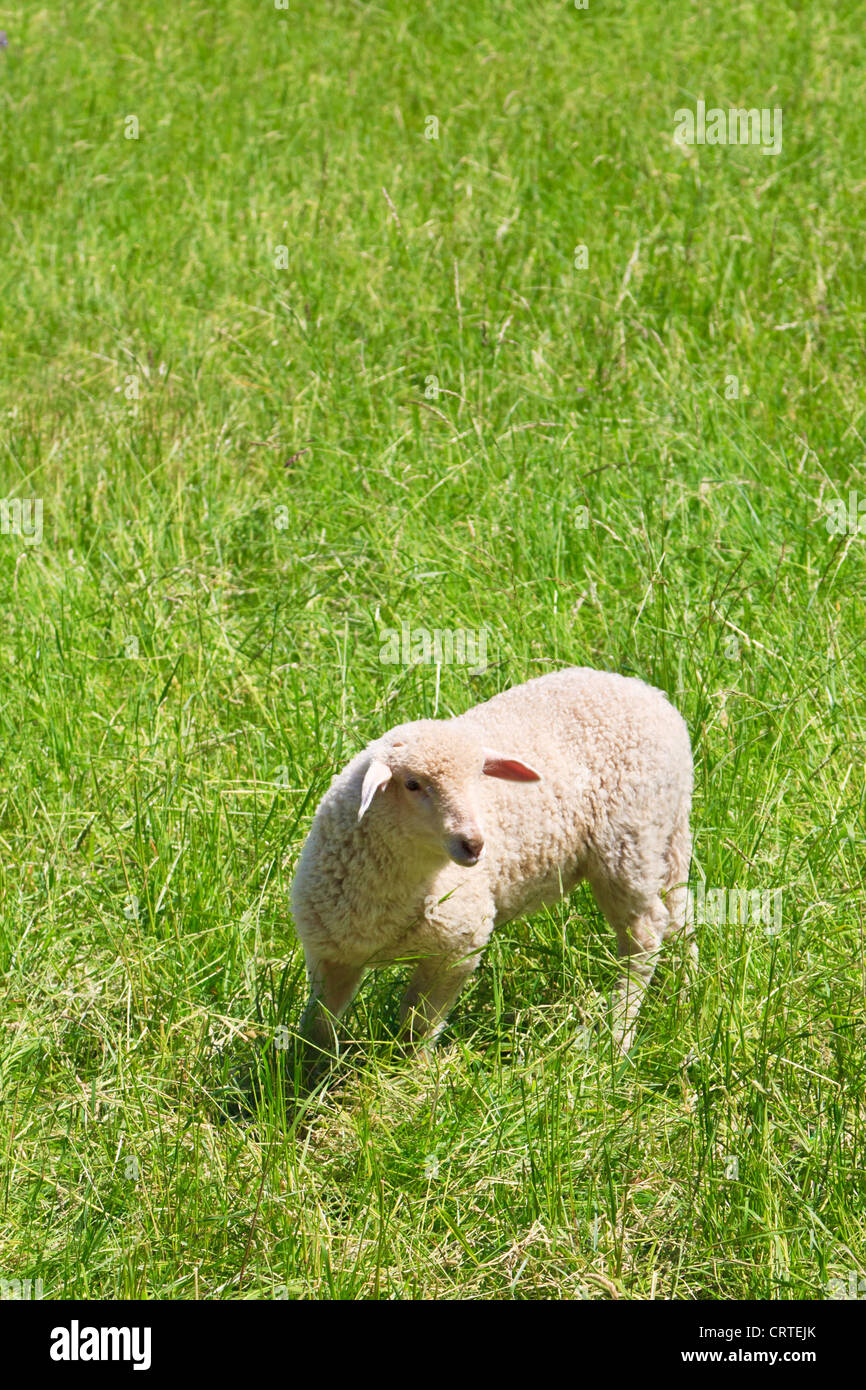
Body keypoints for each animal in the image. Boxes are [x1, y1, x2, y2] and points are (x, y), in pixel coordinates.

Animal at [290, 667, 694, 1075]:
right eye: (413, 784)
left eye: (478, 779)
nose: (475, 843)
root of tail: (648, 693)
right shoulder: (331, 955)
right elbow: (318, 1026)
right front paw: (307, 1075)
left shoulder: (460, 943)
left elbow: (420, 1023)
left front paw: (415, 1073)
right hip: (666, 832)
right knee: (681, 914)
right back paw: (684, 990)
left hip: (628, 841)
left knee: (645, 934)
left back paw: (618, 1035)